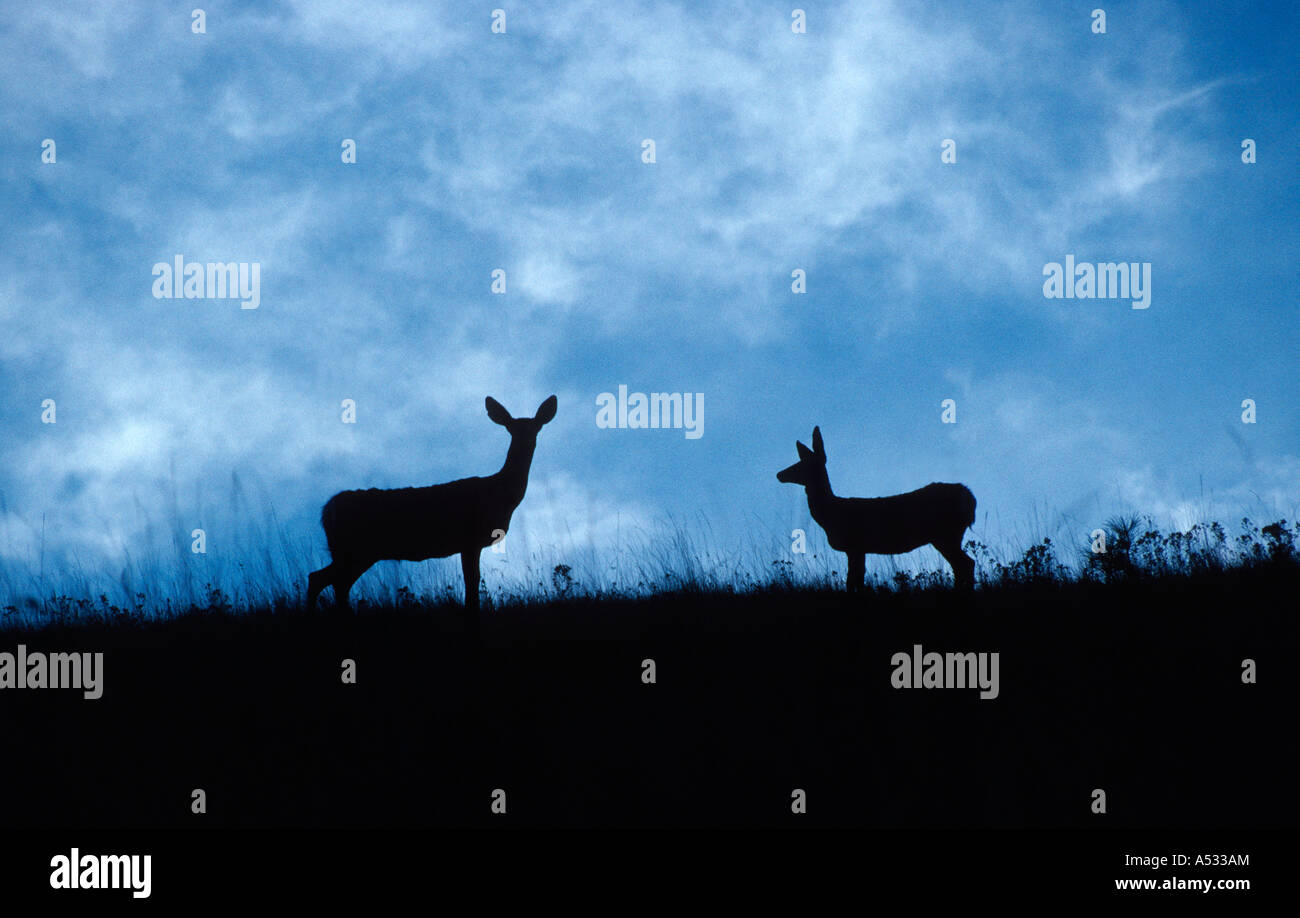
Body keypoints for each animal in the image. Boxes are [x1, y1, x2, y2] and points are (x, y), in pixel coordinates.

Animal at [306, 395, 558, 612]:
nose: (527, 442)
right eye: (511, 429)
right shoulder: (469, 540)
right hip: (356, 549)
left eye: (536, 427)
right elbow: (472, 582)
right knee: (322, 579)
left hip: (356, 552)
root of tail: (327, 511)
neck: (501, 494)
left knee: (332, 582)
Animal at [776, 426, 977, 592]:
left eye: (802, 464)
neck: (831, 514)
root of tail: (970, 498)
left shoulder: (854, 544)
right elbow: (857, 579)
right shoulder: (859, 549)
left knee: (966, 564)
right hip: (949, 535)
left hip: (946, 534)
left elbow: (852, 581)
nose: (779, 474)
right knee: (962, 565)